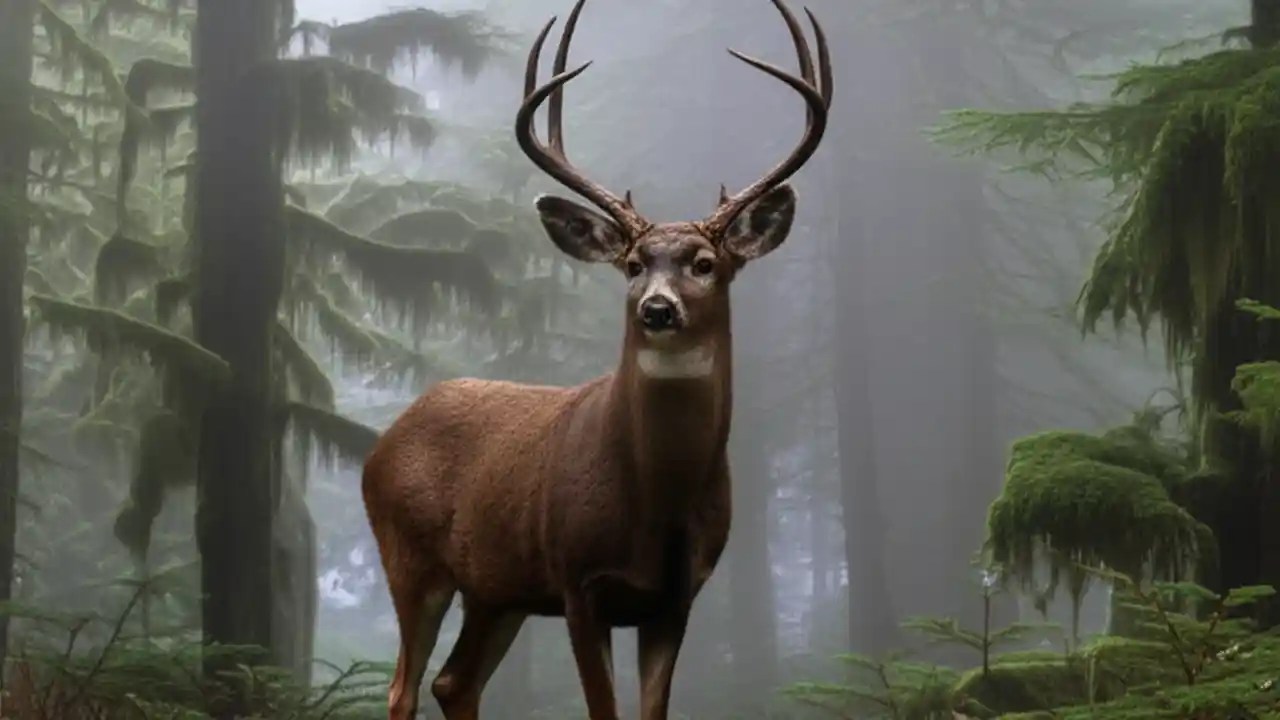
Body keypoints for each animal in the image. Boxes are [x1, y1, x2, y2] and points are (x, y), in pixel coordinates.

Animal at [361, 1, 831, 718]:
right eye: (634, 264)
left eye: (705, 263)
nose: (657, 309)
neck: (655, 504)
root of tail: (381, 444)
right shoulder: (579, 581)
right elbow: (602, 708)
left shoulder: (676, 599)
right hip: (411, 558)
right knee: (403, 687)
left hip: (497, 588)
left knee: (454, 680)